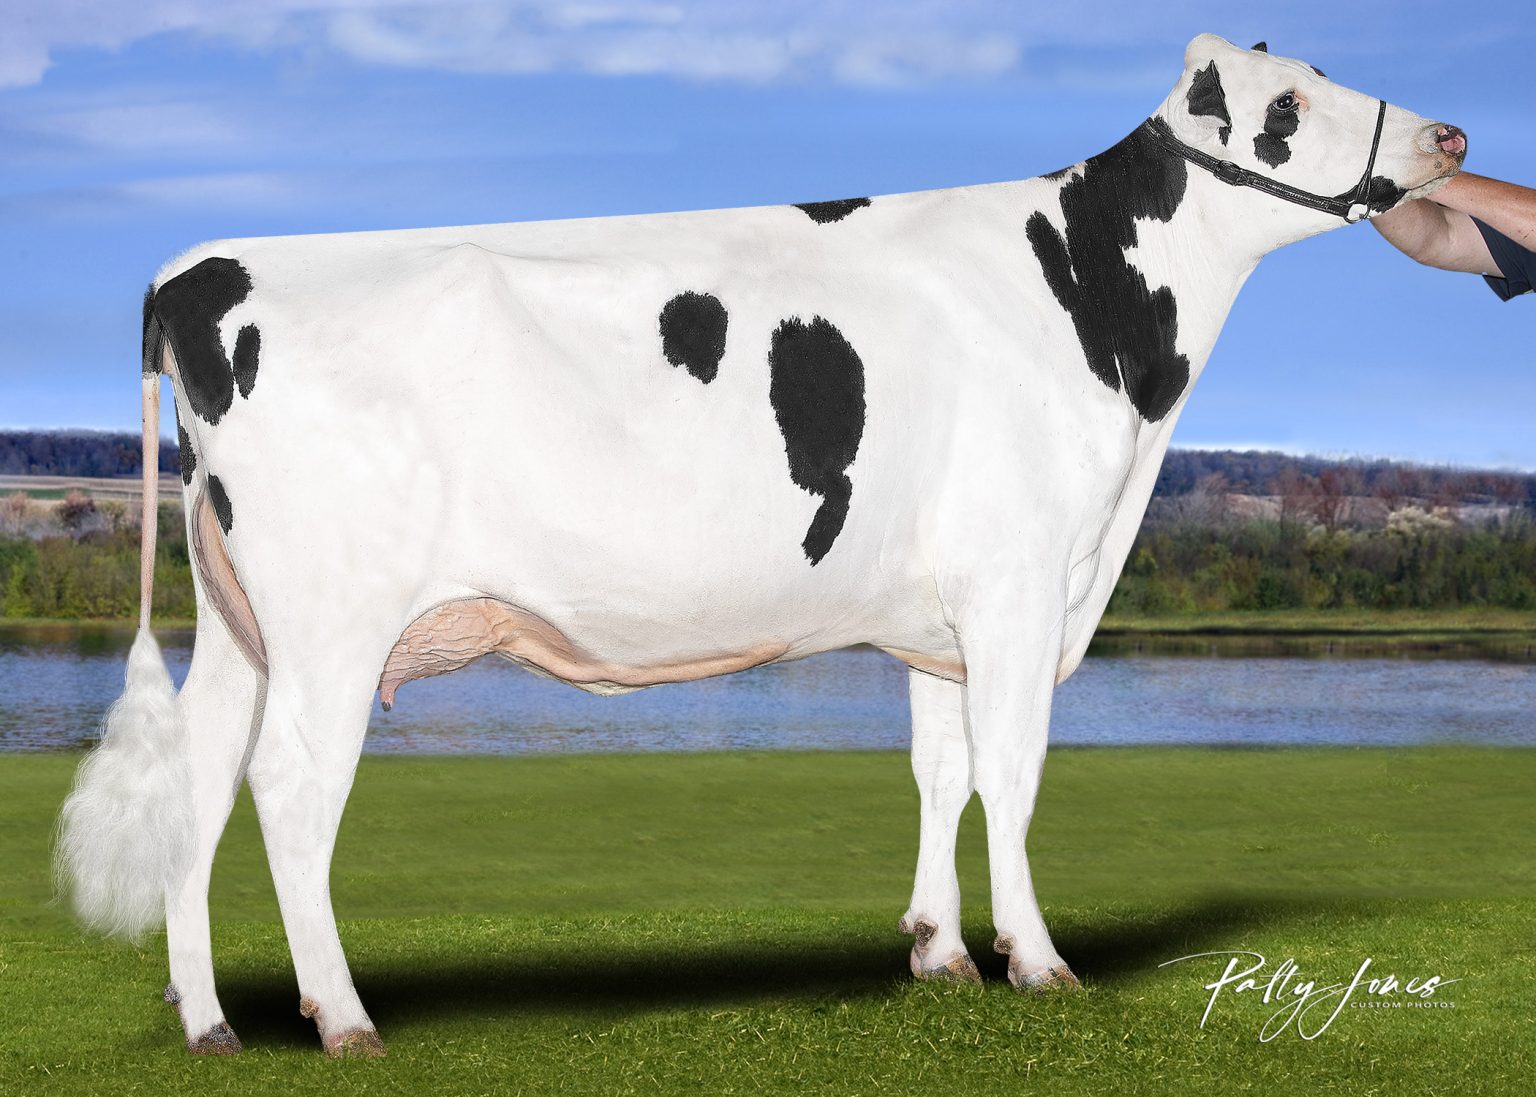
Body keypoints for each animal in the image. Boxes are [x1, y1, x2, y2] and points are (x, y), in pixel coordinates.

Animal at [57, 34, 1466, 1057]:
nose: (1449, 135)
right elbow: (1012, 776)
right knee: (290, 787)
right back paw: (343, 1017)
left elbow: (943, 771)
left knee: (201, 773)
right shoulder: (1019, 580)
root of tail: (196, 272)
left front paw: (939, 950)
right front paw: (1039, 959)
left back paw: (208, 1019)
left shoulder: (942, 615)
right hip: (334, 621)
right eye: (1289, 101)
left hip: (237, 618)